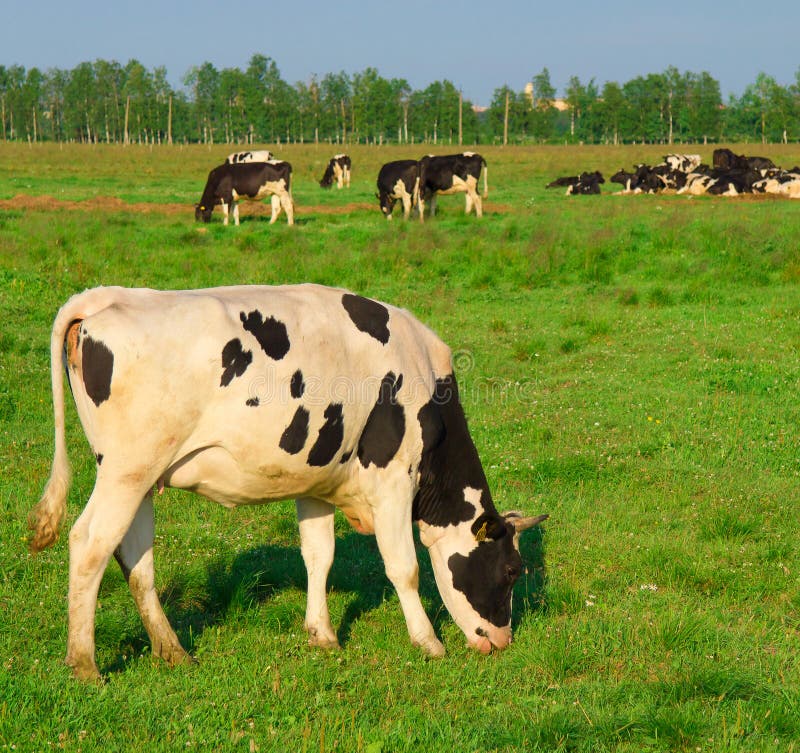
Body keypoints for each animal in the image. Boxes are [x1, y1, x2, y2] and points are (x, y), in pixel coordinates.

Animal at [29, 284, 548, 682]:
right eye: (511, 571)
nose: (504, 640)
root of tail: (109, 297)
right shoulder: (393, 480)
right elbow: (405, 567)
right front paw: (427, 641)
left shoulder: (316, 482)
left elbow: (319, 556)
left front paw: (322, 634)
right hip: (125, 471)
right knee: (89, 544)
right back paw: (85, 664)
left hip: (138, 477)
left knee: (135, 555)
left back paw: (172, 649)